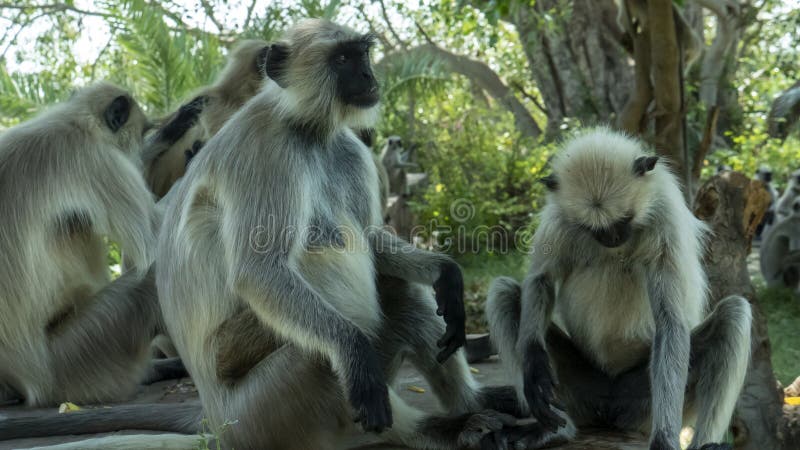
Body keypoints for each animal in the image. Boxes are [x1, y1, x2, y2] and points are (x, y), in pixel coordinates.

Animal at [0, 82, 170, 408]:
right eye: (140, 132)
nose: (139, 152)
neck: (75, 122)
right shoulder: (103, 163)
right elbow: (155, 249)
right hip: (79, 356)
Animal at [486, 128, 752, 450]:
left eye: (624, 220)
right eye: (594, 229)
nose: (612, 239)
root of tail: (609, 407)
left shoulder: (664, 217)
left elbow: (671, 322)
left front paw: (664, 440)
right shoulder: (560, 215)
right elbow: (541, 279)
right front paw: (535, 365)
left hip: (642, 403)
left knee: (734, 315)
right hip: (579, 391)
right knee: (503, 292)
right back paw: (556, 431)